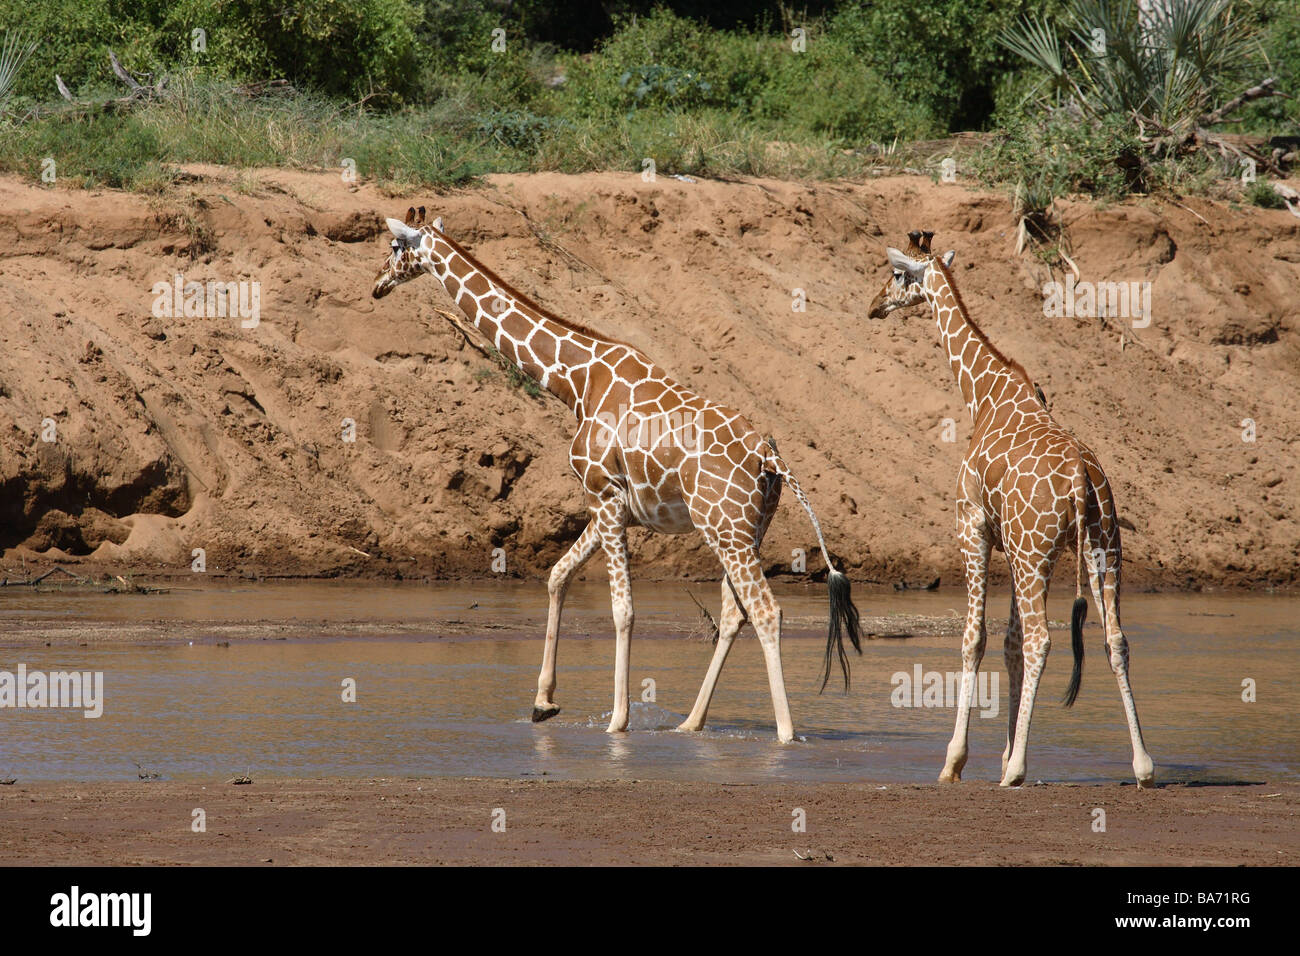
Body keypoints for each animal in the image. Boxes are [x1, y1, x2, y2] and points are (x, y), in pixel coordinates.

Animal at [372, 206, 862, 742]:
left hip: (725, 527)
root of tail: (770, 459)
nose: (376, 284)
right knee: (735, 612)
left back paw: (786, 734)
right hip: (748, 528)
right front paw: (543, 703)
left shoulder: (602, 495)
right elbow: (557, 575)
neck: (576, 381)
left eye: (394, 247)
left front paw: (616, 721)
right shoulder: (612, 503)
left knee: (765, 610)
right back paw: (690, 723)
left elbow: (622, 609)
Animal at [867, 231, 1154, 788]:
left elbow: (976, 638)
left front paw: (956, 762)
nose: (873, 306)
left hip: (1035, 552)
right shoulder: (1010, 545)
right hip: (1102, 549)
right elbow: (1009, 644)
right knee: (1116, 640)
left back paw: (1018, 770)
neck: (982, 392)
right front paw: (998, 754)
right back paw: (1144, 766)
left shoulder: (973, 527)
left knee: (1044, 639)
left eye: (895, 274)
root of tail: (1081, 479)